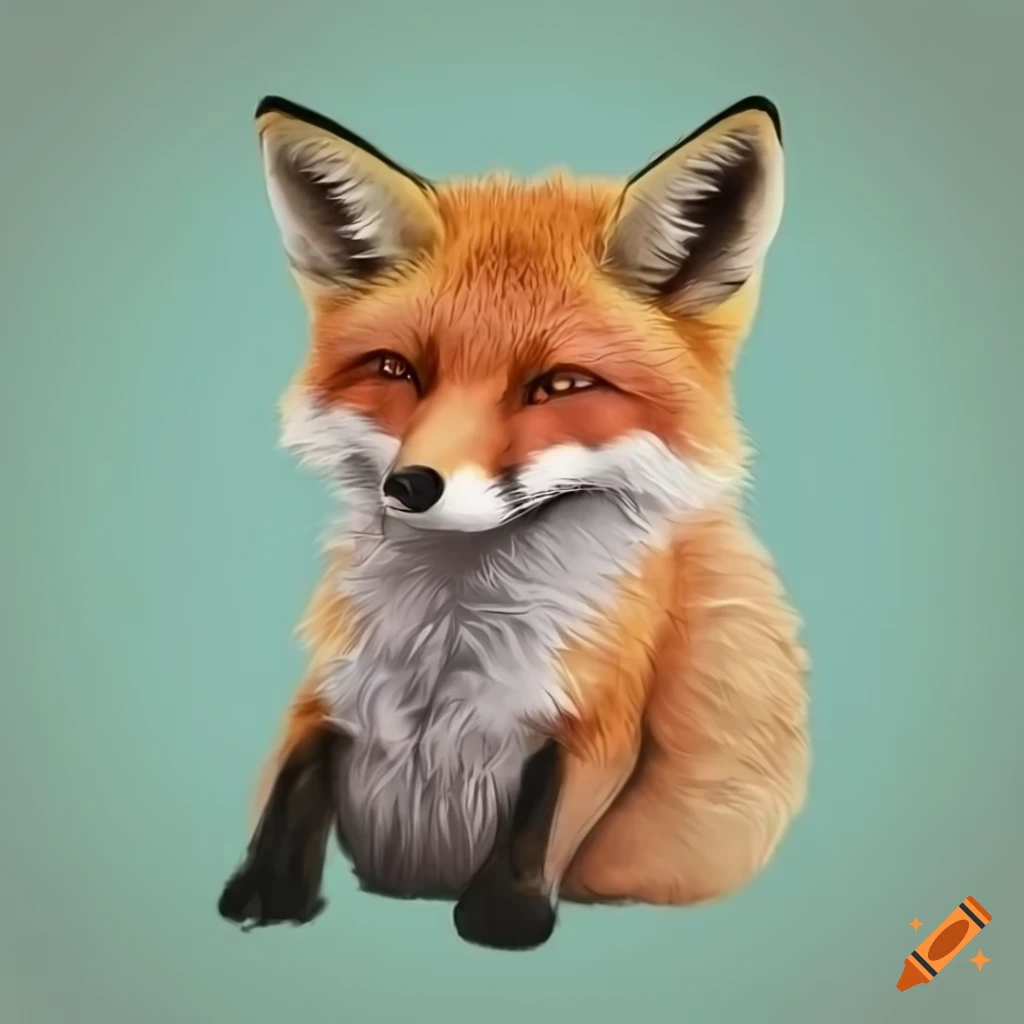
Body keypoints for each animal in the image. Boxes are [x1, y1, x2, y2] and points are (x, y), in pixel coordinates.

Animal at [217, 93, 810, 951]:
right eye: (398, 370)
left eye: (559, 384)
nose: (409, 485)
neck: (446, 647)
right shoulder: (332, 686)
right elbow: (296, 773)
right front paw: (262, 890)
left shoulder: (598, 714)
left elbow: (545, 814)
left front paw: (503, 915)